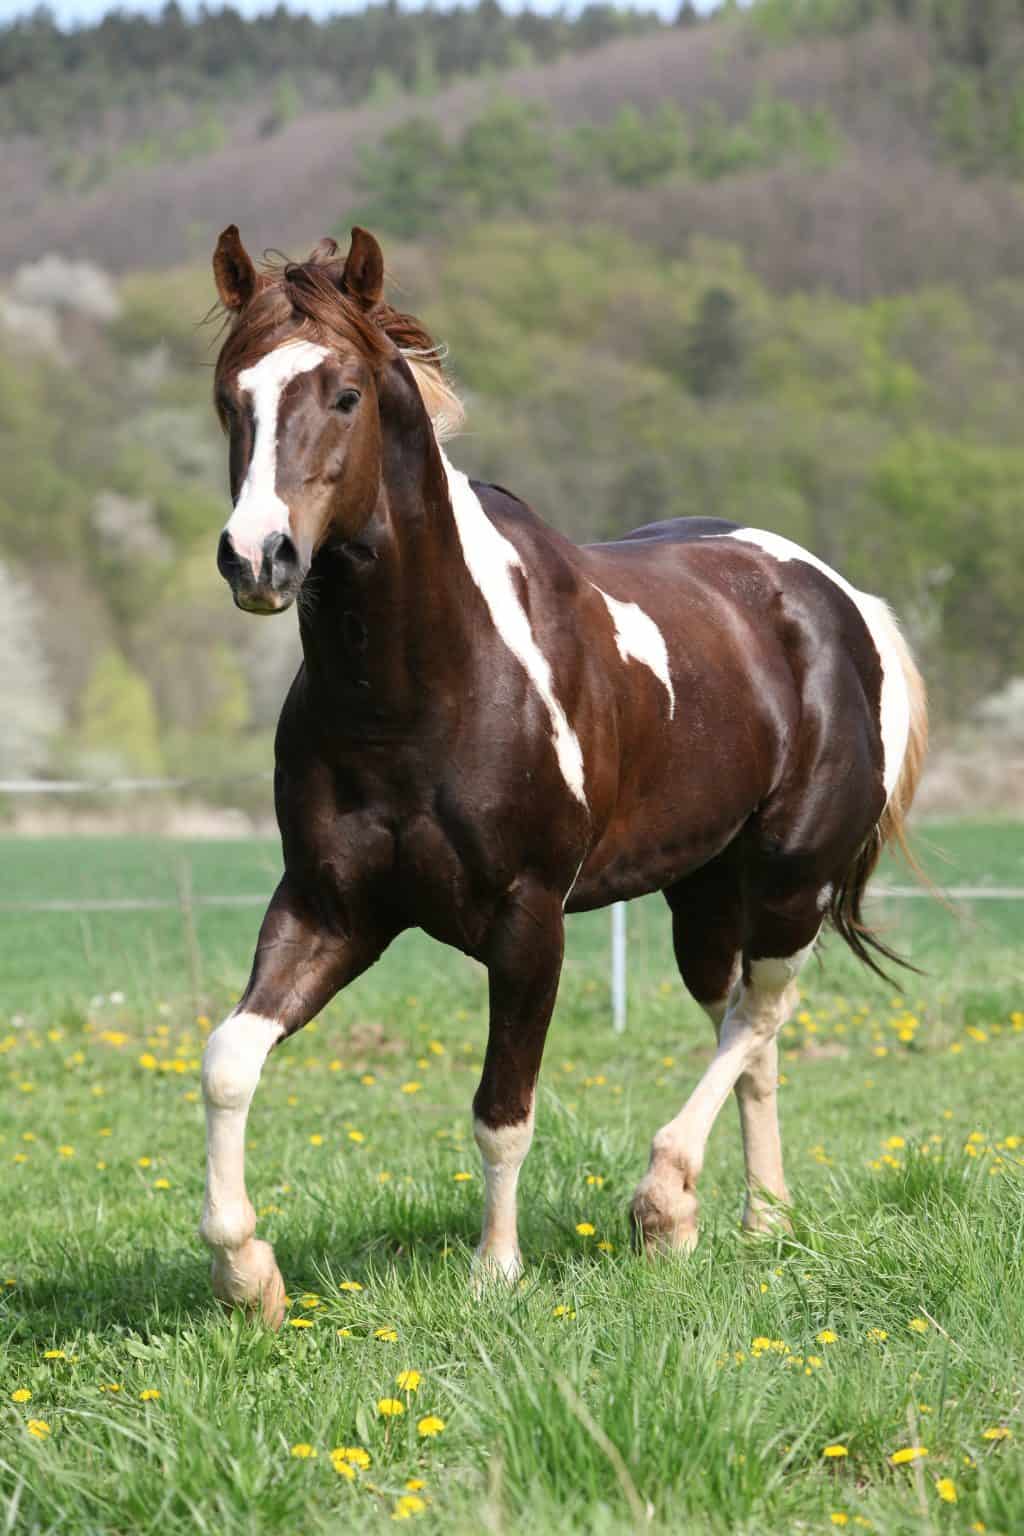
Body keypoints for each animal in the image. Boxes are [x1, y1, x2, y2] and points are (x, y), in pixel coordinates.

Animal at [200, 224, 927, 1324]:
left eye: (345, 394)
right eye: (228, 394)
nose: (258, 559)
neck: (416, 692)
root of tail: (840, 601)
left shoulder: (527, 919)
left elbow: (503, 1108)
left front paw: (494, 1271)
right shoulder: (331, 908)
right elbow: (229, 1060)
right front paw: (248, 1272)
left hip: (789, 880)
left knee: (758, 1015)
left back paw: (667, 1202)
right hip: (702, 895)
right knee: (743, 1032)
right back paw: (758, 1219)